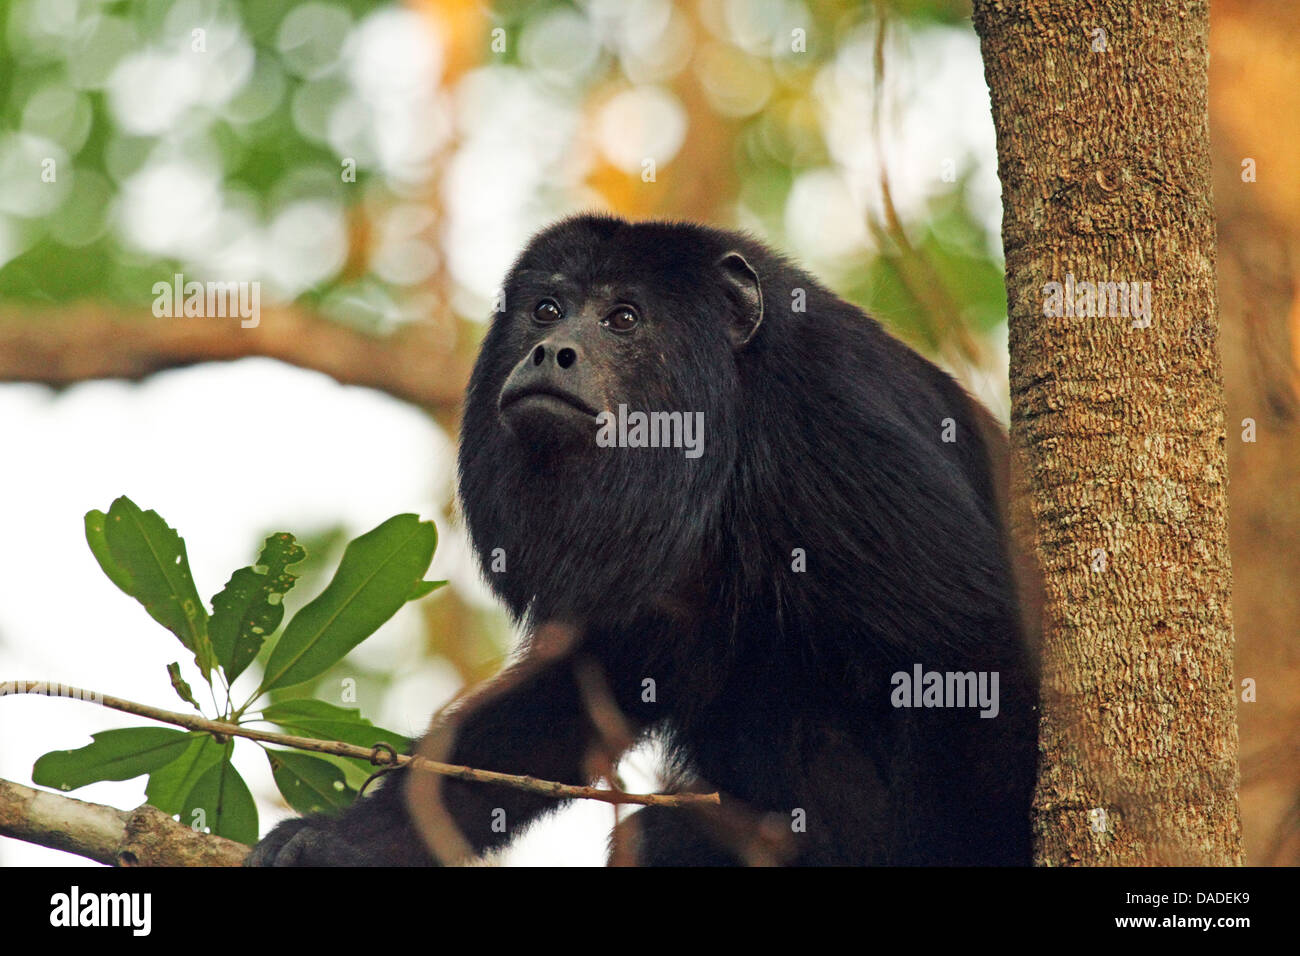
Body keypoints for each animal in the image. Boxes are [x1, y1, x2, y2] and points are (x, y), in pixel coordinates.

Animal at [247, 213, 1039, 866]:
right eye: (547, 309)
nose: (550, 350)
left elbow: (969, 645)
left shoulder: (833, 420)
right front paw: (348, 841)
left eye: (623, 318)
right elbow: (572, 694)